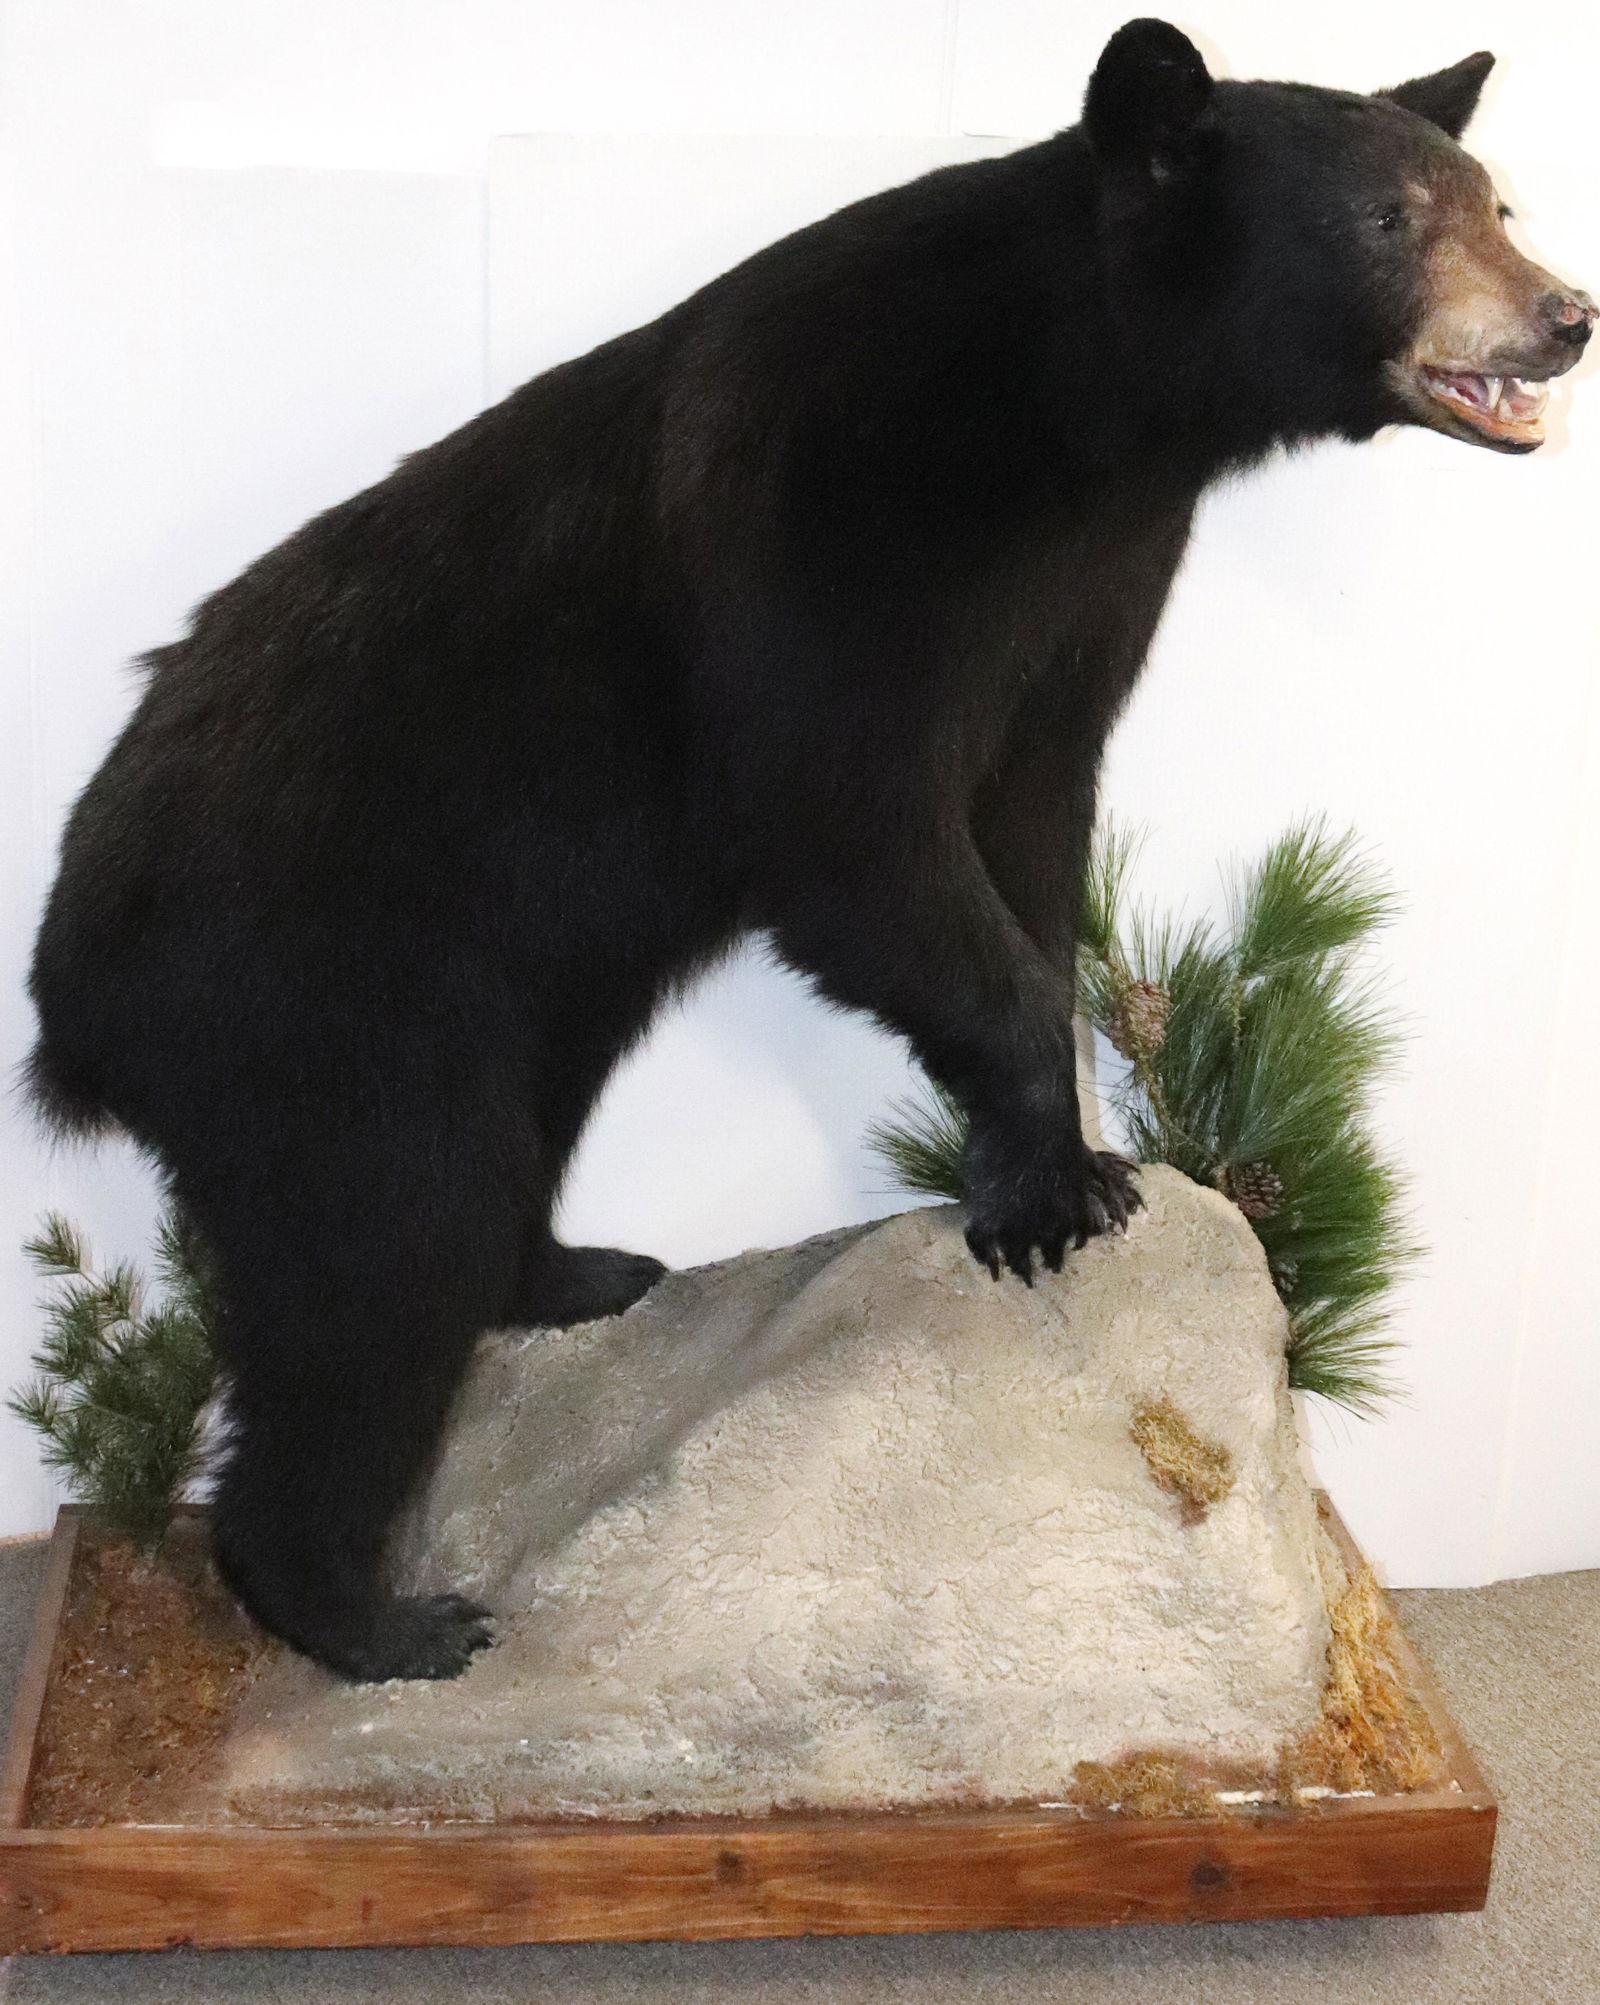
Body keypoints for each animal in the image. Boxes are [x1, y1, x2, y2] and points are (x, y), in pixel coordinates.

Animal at [26, 21, 1592, 1680]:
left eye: (1495, 200)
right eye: (1389, 220)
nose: (1568, 316)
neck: (1078, 411)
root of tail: (71, 1000)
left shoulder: (1091, 594)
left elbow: (1037, 824)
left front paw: (1061, 1160)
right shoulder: (831, 530)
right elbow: (851, 826)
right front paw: (1052, 1189)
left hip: (503, 993)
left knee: (496, 1153)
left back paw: (580, 1273)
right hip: (317, 1004)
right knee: (383, 1247)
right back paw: (373, 1613)